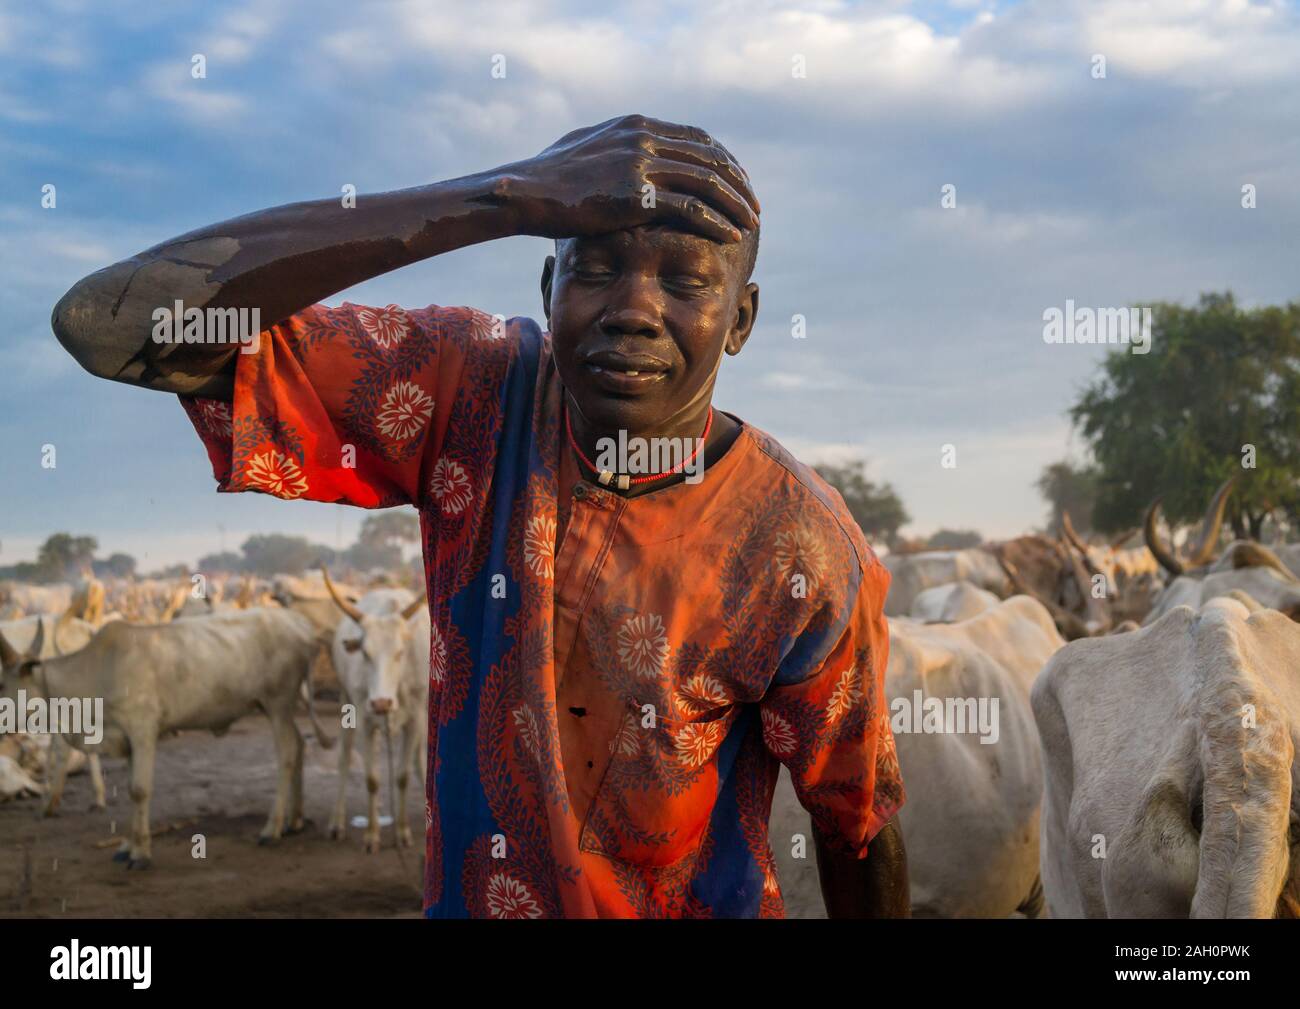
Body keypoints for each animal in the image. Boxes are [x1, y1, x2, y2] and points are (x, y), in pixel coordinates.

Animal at [0, 607, 332, 868]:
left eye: (2, 682)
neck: (99, 670)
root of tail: (300, 625)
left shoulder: (143, 730)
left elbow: (139, 790)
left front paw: (141, 854)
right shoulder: (128, 741)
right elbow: (131, 789)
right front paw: (127, 847)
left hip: (278, 703)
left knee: (287, 752)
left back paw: (271, 829)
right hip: (279, 707)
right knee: (299, 745)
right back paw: (293, 821)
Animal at [321, 568, 430, 853]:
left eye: (400, 652)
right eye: (365, 653)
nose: (382, 703)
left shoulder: (416, 719)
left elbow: (403, 775)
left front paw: (402, 832)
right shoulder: (365, 720)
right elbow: (371, 779)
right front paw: (371, 834)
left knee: (419, 761)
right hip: (345, 702)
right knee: (344, 759)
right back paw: (337, 822)